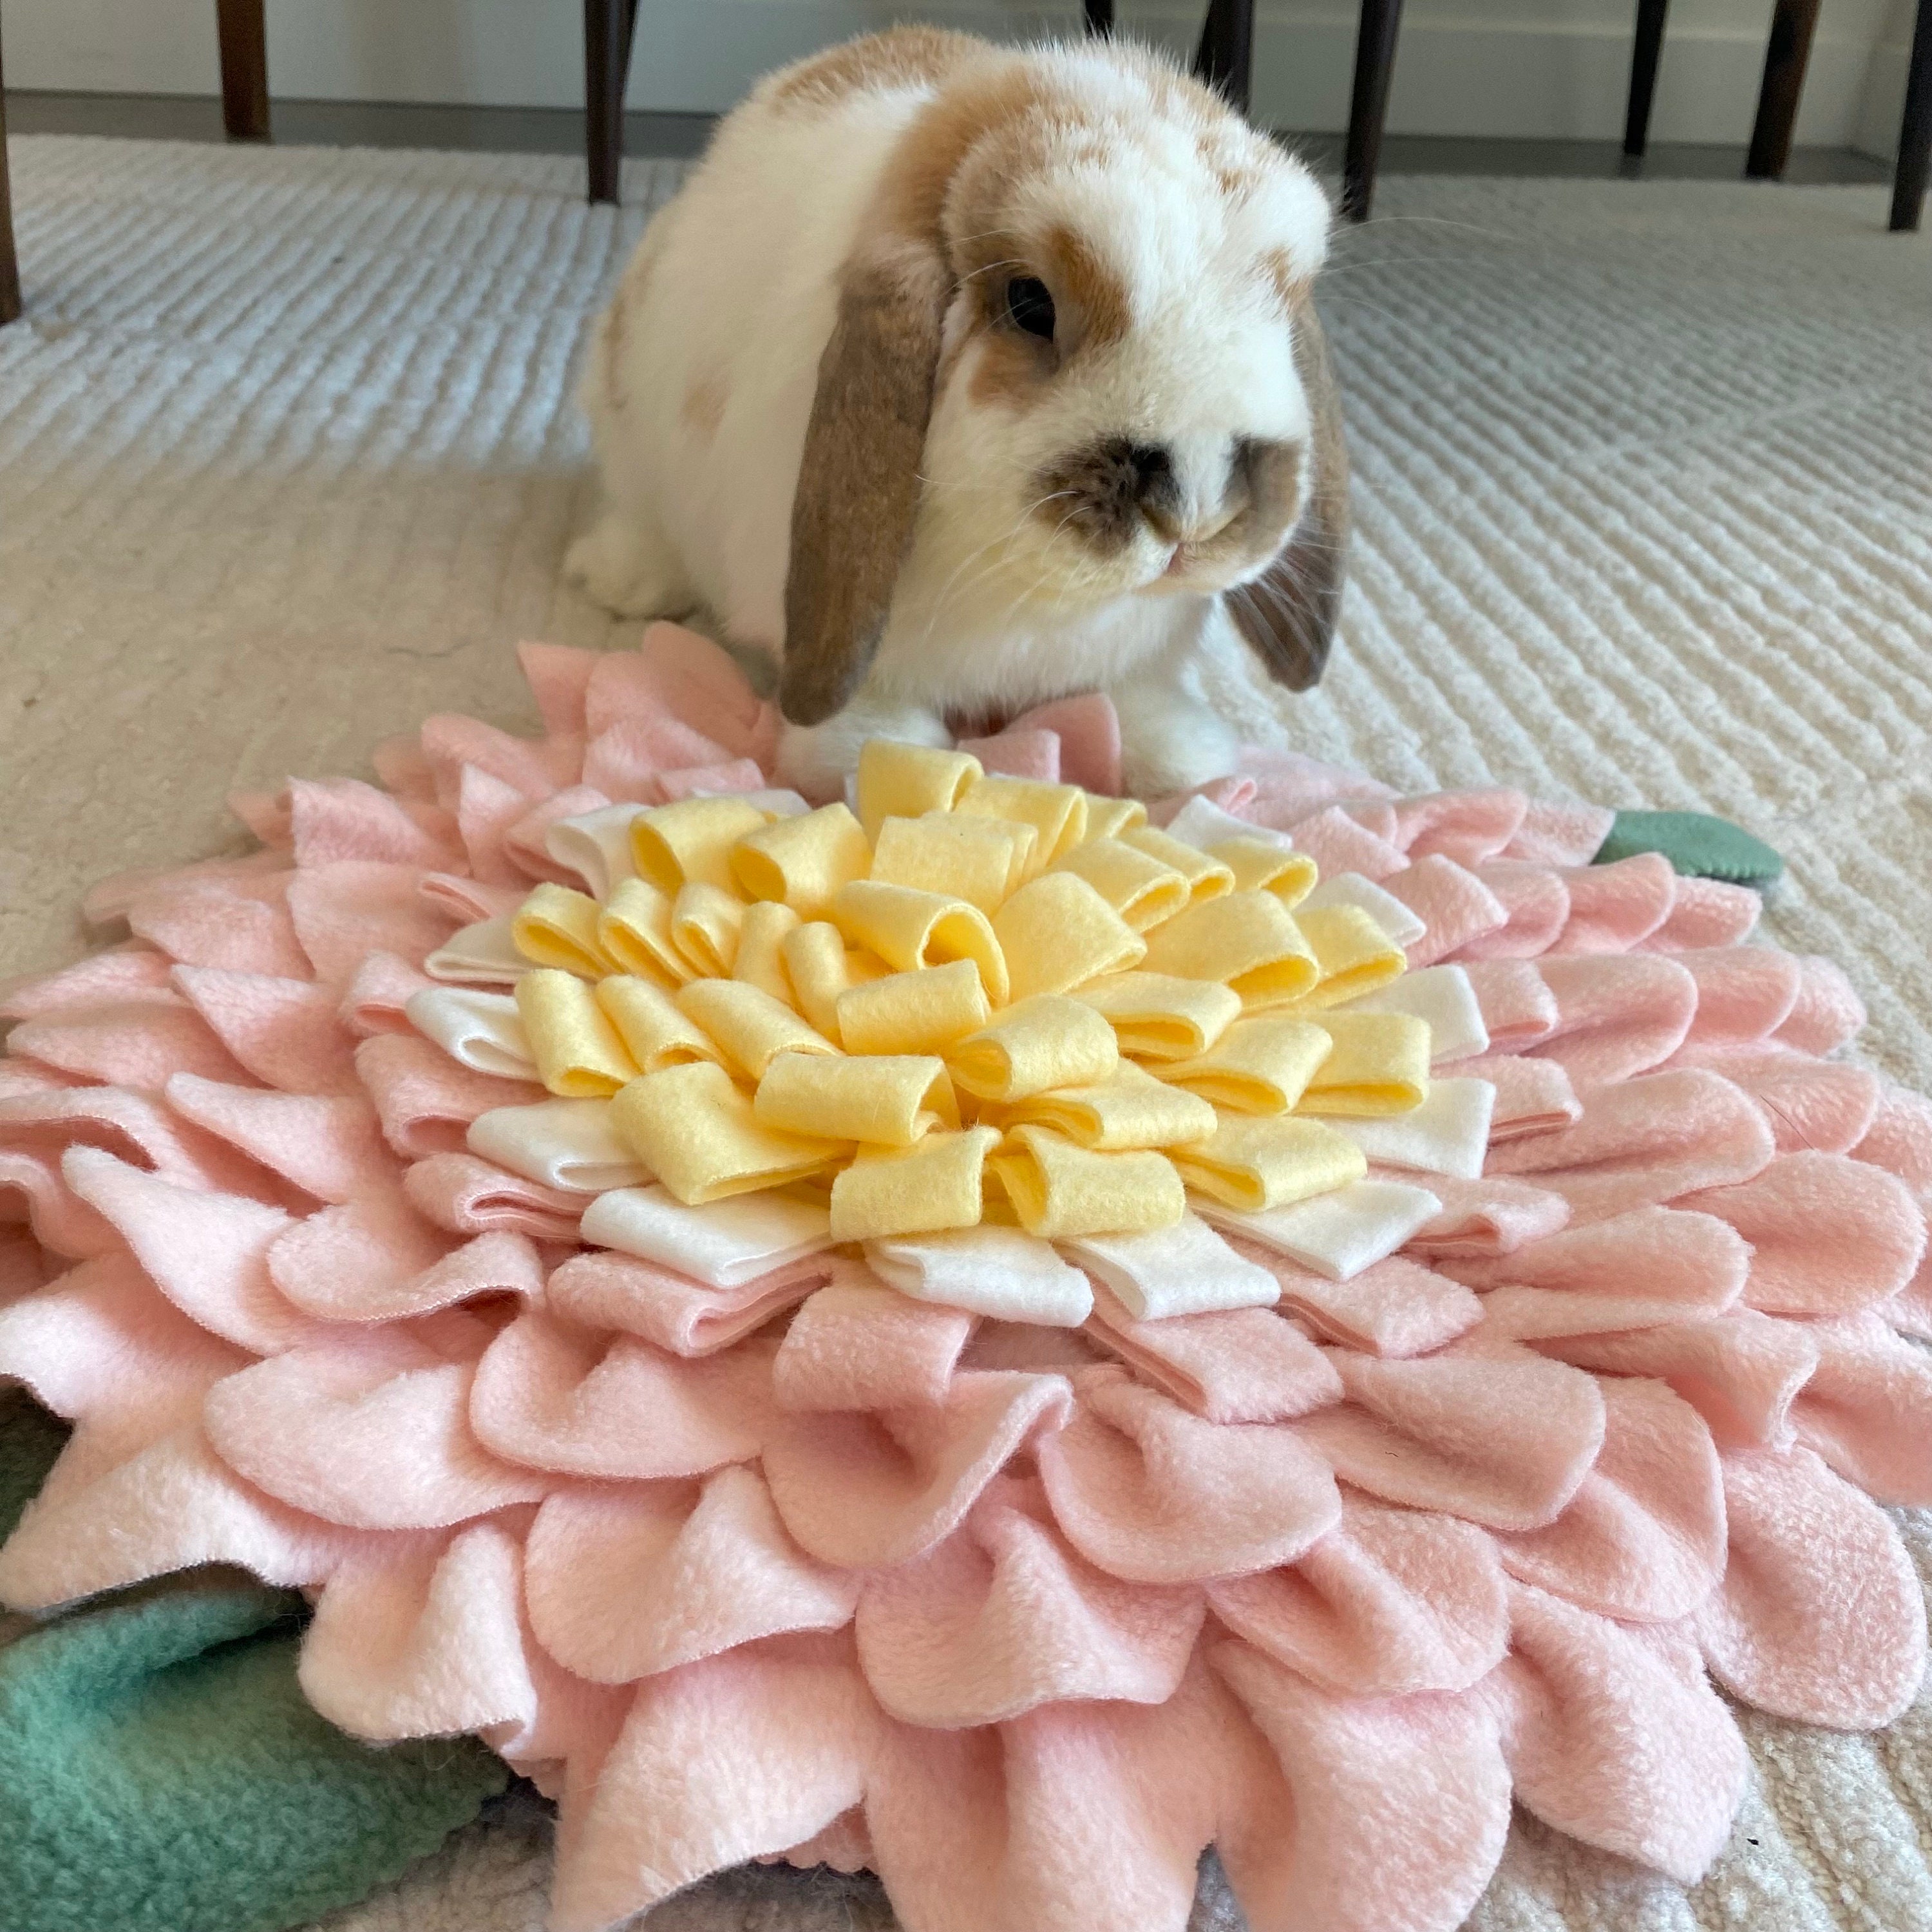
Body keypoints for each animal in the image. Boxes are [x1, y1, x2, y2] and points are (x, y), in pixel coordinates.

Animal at [567, 25, 1347, 801]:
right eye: (1031, 304)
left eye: (1283, 306)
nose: (1197, 514)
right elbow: (871, 707)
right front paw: (882, 759)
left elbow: (1127, 696)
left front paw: (1179, 759)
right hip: (628, 427)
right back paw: (621, 579)